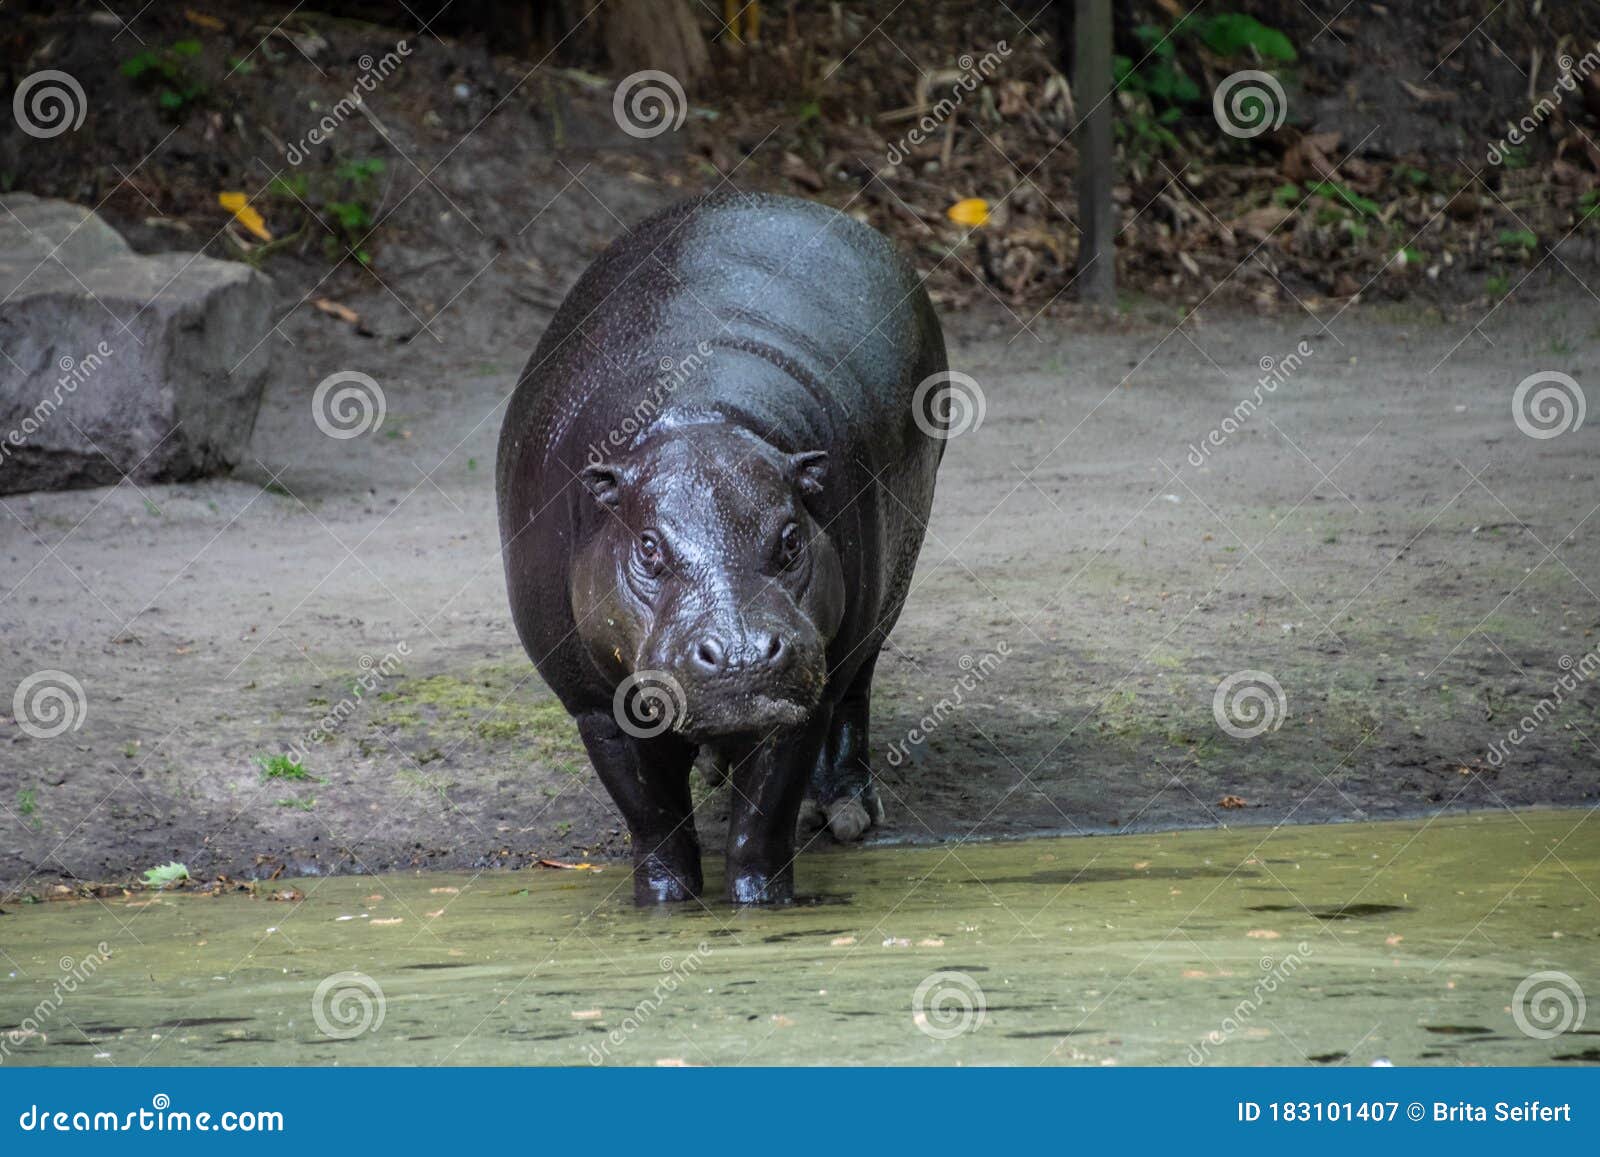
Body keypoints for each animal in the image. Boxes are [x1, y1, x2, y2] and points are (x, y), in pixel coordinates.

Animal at [497, 192, 947, 905]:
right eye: (648, 546)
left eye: (790, 538)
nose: (740, 654)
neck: (698, 419)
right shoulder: (597, 708)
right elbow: (654, 820)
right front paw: (663, 905)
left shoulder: (799, 700)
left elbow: (761, 823)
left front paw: (762, 904)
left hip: (882, 600)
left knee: (858, 687)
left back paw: (846, 811)